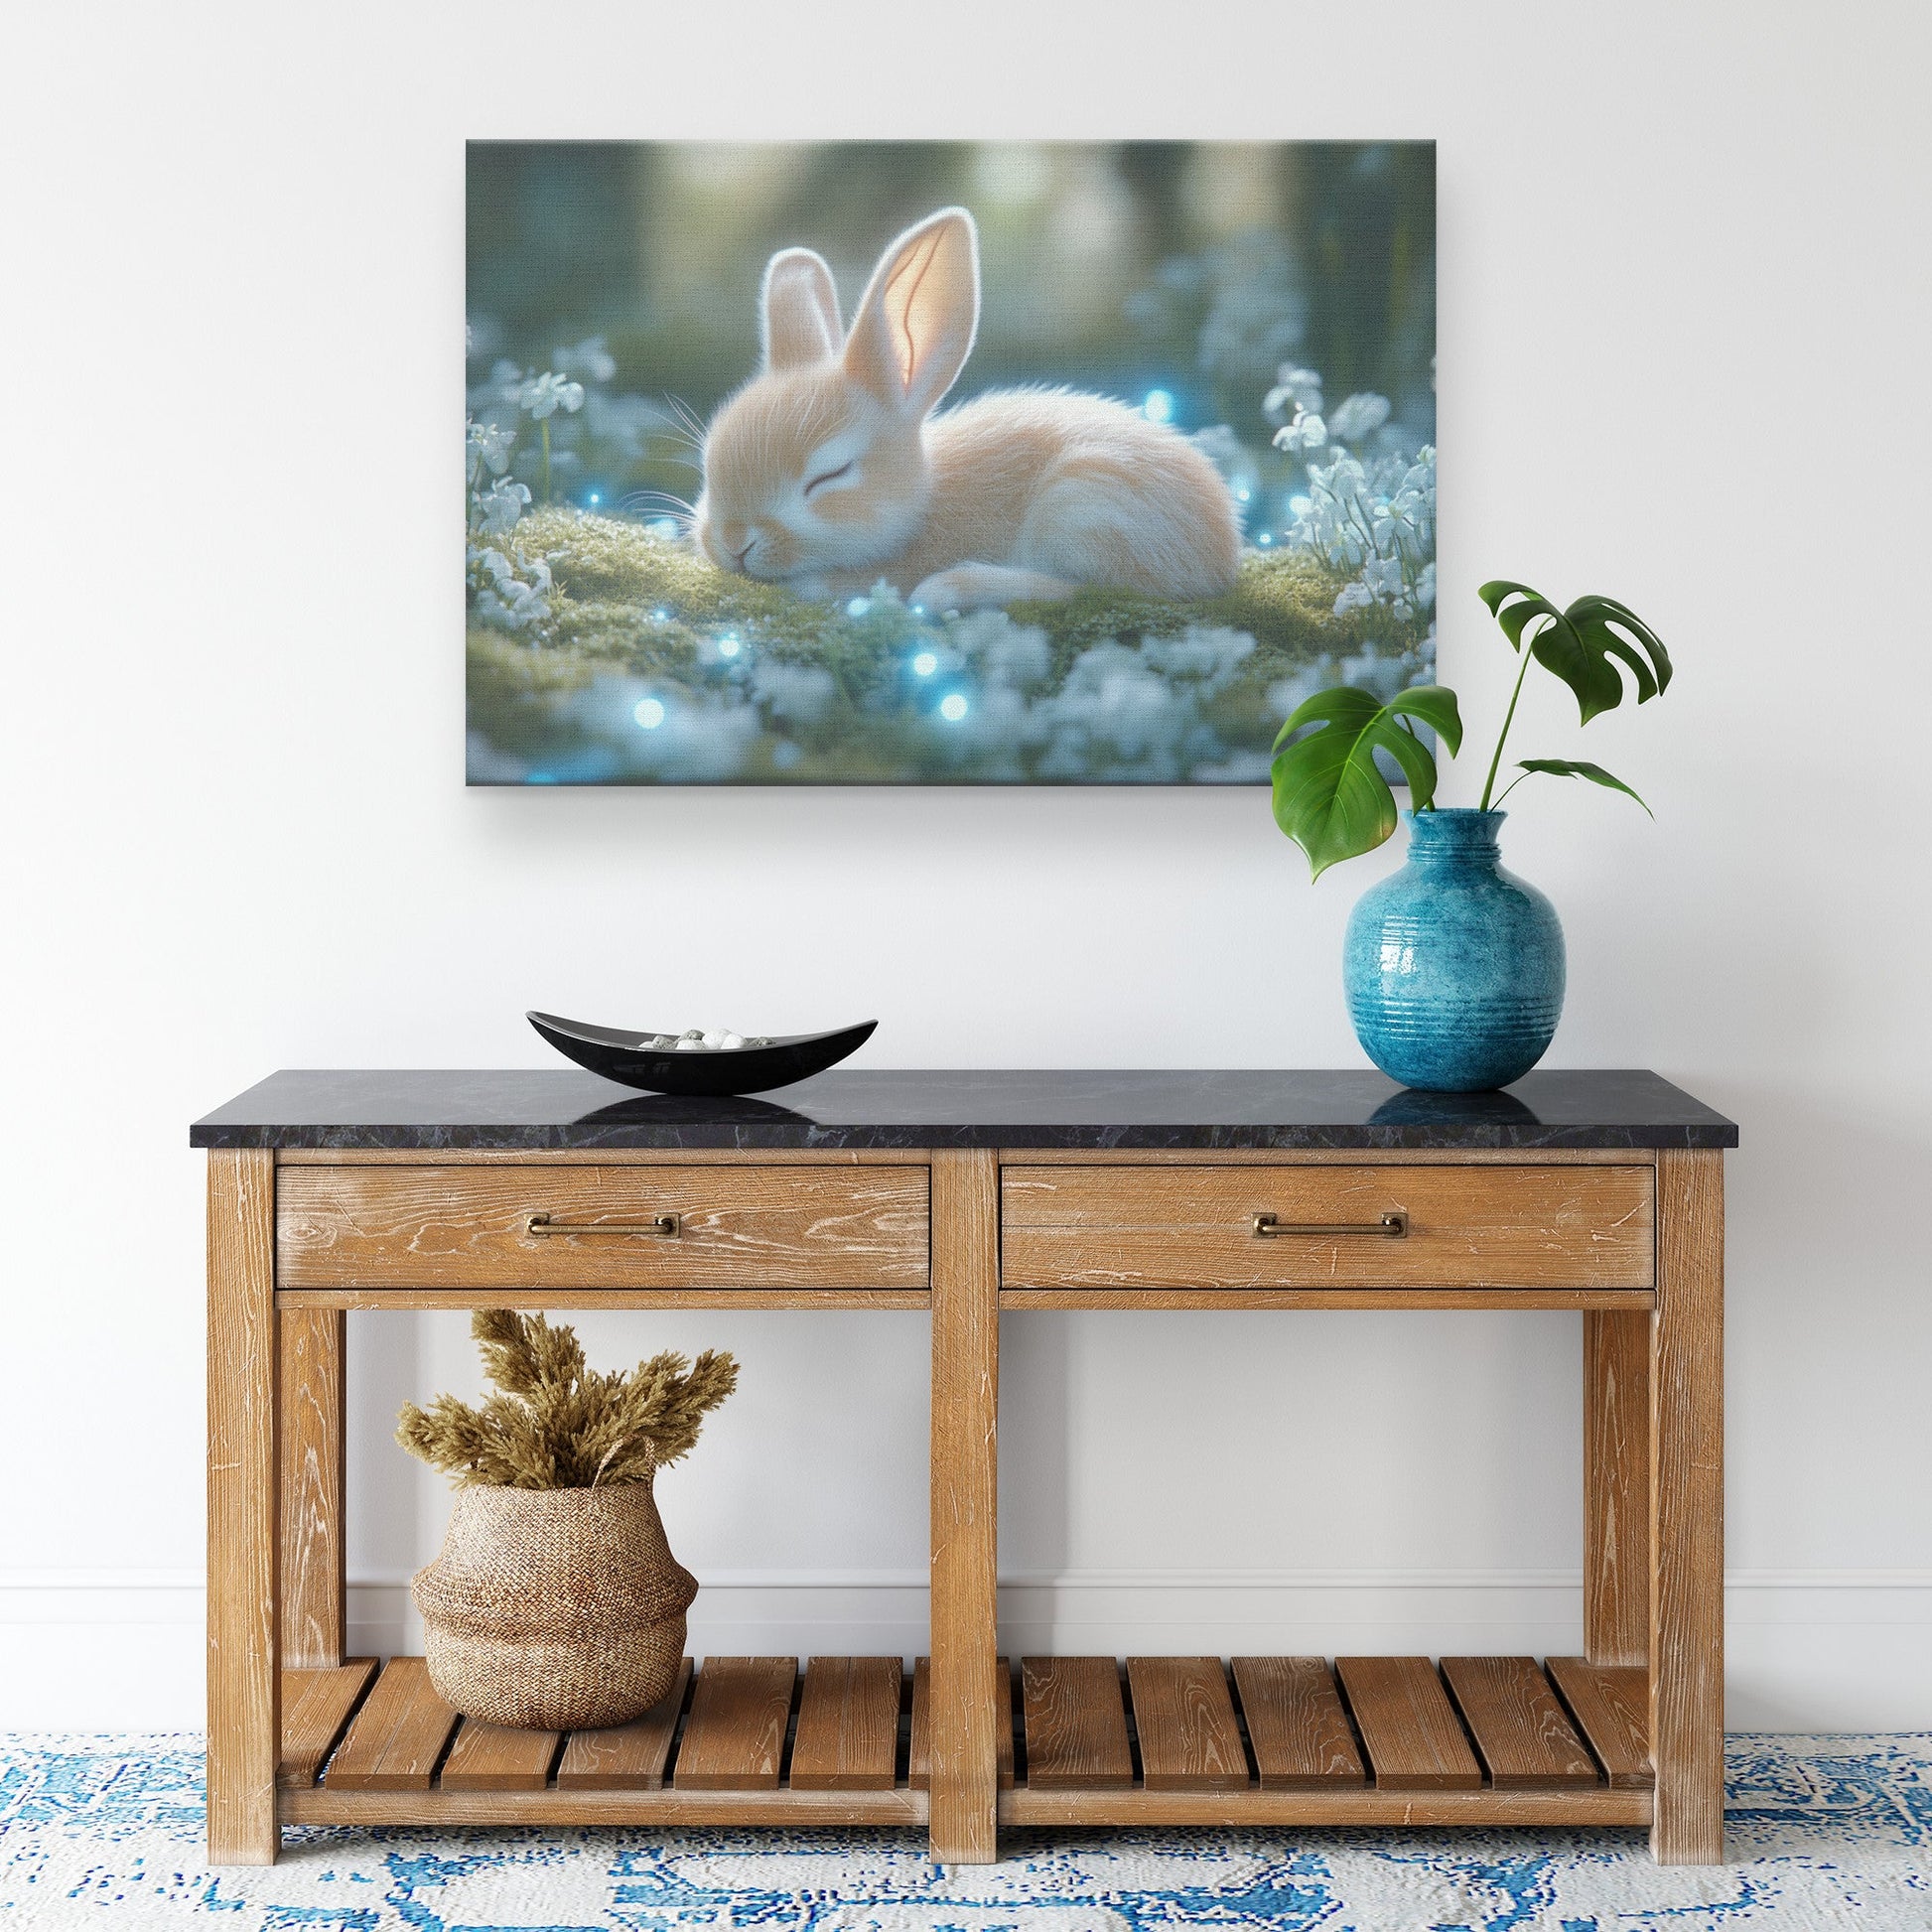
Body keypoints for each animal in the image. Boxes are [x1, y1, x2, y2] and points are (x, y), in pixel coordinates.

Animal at [693, 207, 1242, 613]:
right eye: (707, 464)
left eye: (830, 475)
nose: (735, 542)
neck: (922, 503)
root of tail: (1222, 551)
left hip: (1086, 499)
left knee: (1103, 589)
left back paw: (952, 588)